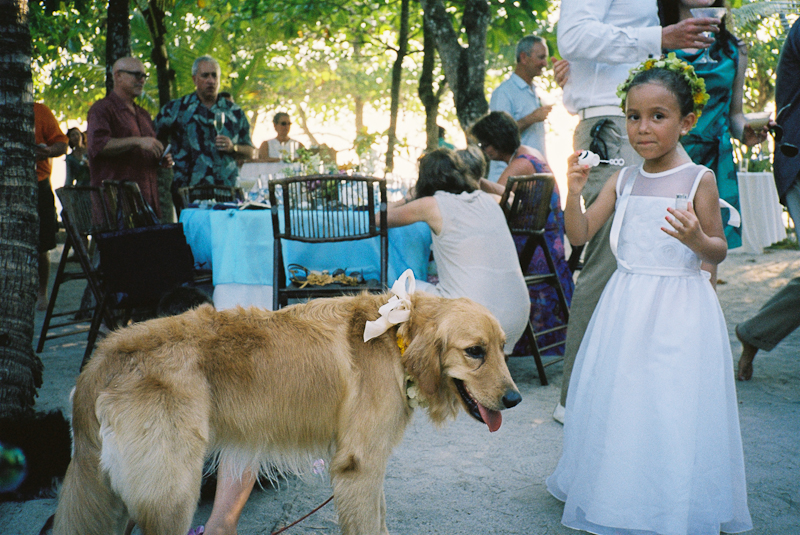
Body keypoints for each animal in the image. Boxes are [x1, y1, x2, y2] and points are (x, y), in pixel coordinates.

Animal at [53, 294, 520, 535]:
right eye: (474, 351)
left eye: (503, 347)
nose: (515, 399)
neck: (397, 337)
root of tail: (103, 357)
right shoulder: (359, 467)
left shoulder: (367, 467)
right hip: (171, 496)